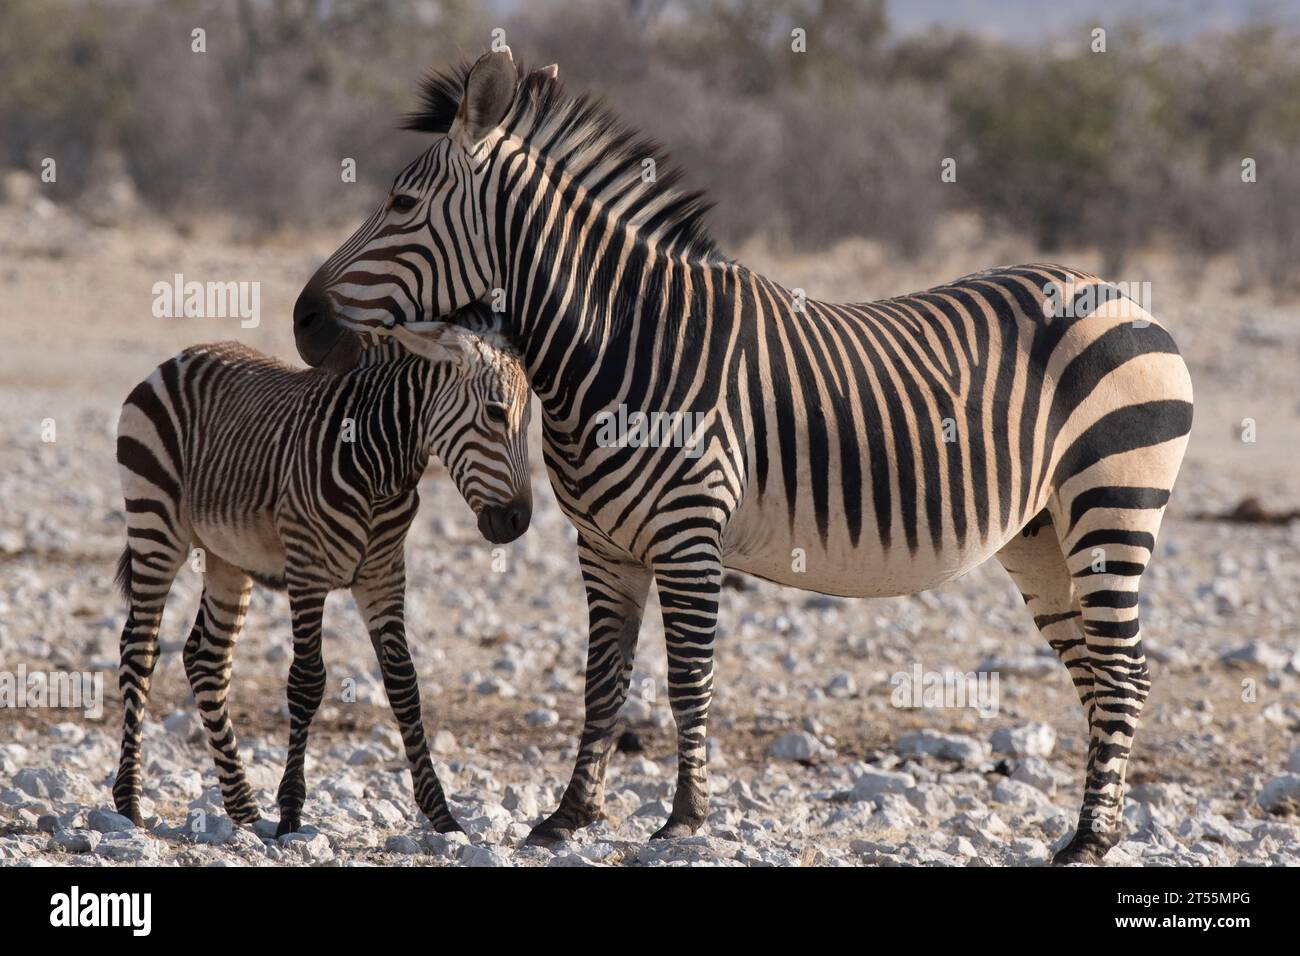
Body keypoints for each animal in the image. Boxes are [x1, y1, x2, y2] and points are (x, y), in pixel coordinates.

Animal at [113, 315, 531, 836]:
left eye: (529, 422)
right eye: (496, 413)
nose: (517, 521)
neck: (380, 468)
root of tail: (179, 357)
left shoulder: (384, 574)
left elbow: (404, 684)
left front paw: (441, 814)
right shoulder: (307, 570)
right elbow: (307, 682)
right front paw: (292, 812)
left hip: (227, 556)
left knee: (206, 660)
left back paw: (243, 807)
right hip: (154, 522)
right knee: (139, 649)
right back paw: (130, 802)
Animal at [291, 50, 1194, 865]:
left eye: (402, 202)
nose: (303, 323)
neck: (616, 348)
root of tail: (1125, 299)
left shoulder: (690, 538)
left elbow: (688, 680)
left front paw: (684, 820)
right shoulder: (604, 547)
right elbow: (602, 681)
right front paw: (568, 818)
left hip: (1109, 506)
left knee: (1122, 671)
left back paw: (1091, 840)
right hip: (1040, 535)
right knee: (1101, 670)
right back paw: (1093, 830)